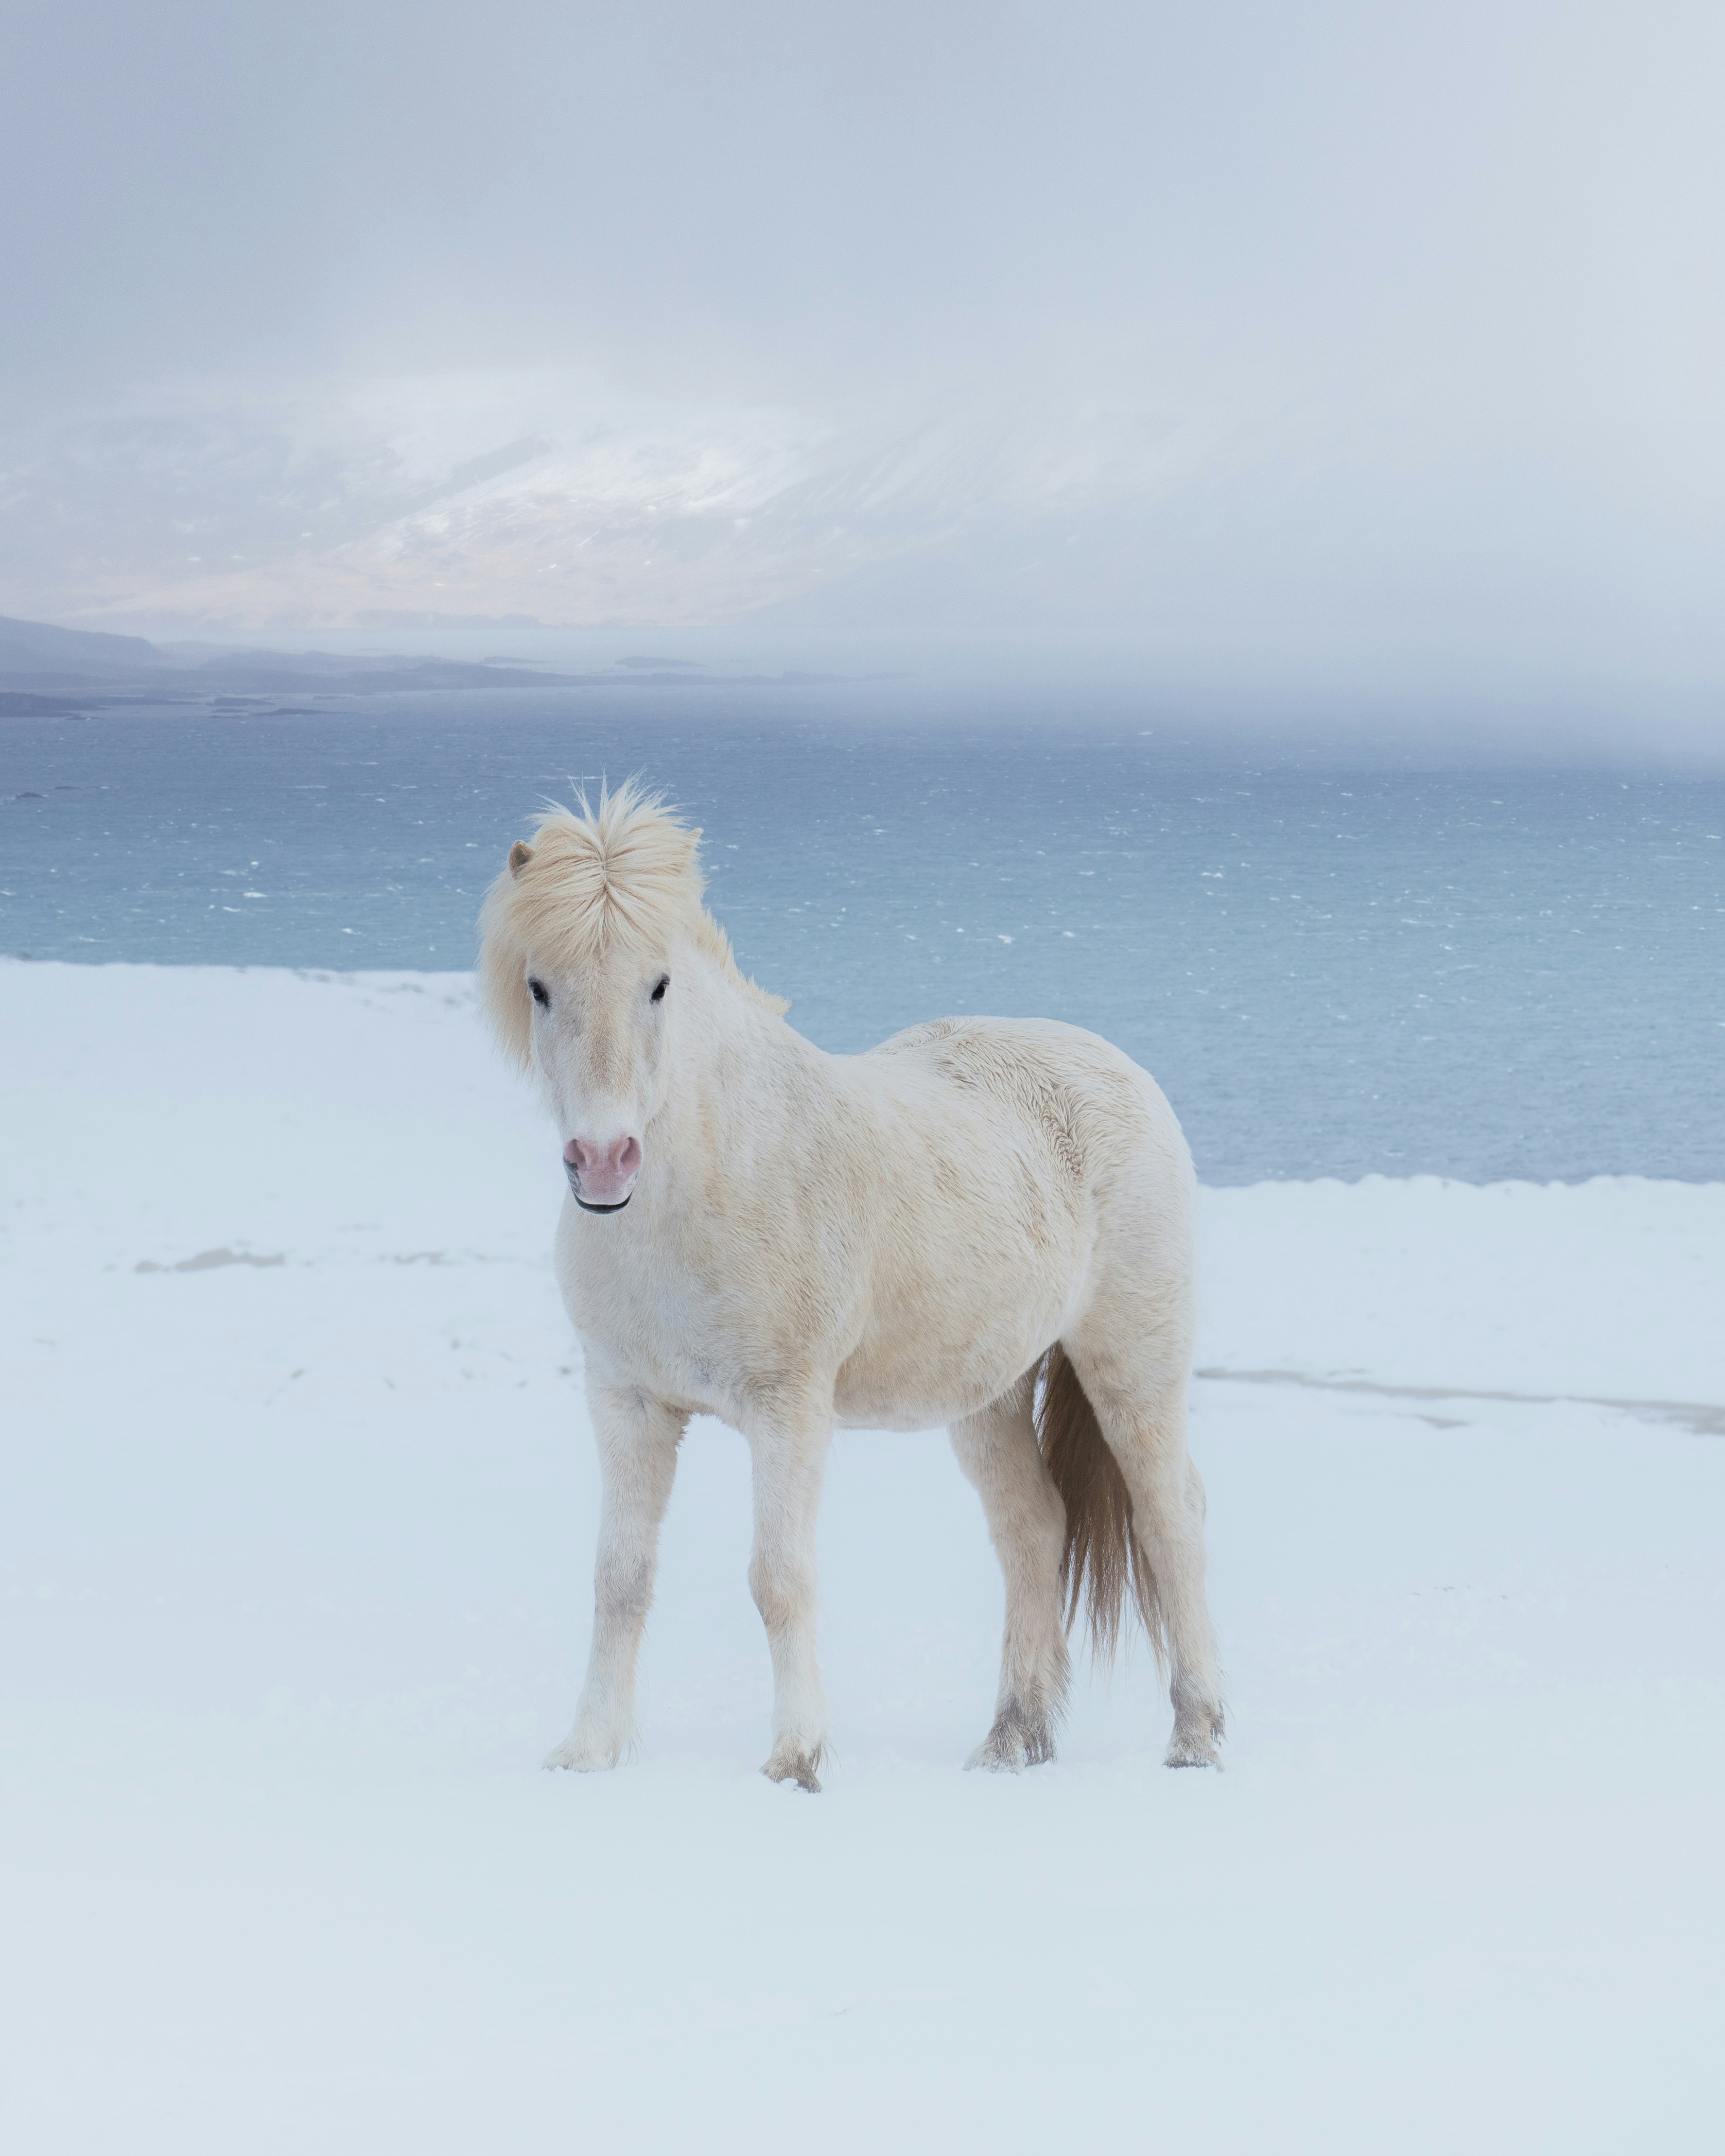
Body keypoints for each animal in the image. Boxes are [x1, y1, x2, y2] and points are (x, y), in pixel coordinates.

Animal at [478, 783, 1223, 1788]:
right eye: (539, 986)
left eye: (658, 984)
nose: (603, 1160)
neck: (709, 1183)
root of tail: (1116, 1066)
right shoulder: (627, 1404)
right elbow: (619, 1580)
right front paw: (587, 1750)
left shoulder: (788, 1409)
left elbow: (778, 1580)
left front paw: (794, 1756)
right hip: (988, 1394)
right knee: (1032, 1529)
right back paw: (1009, 1741)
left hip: (1131, 1365)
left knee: (1169, 1519)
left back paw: (1195, 1736)